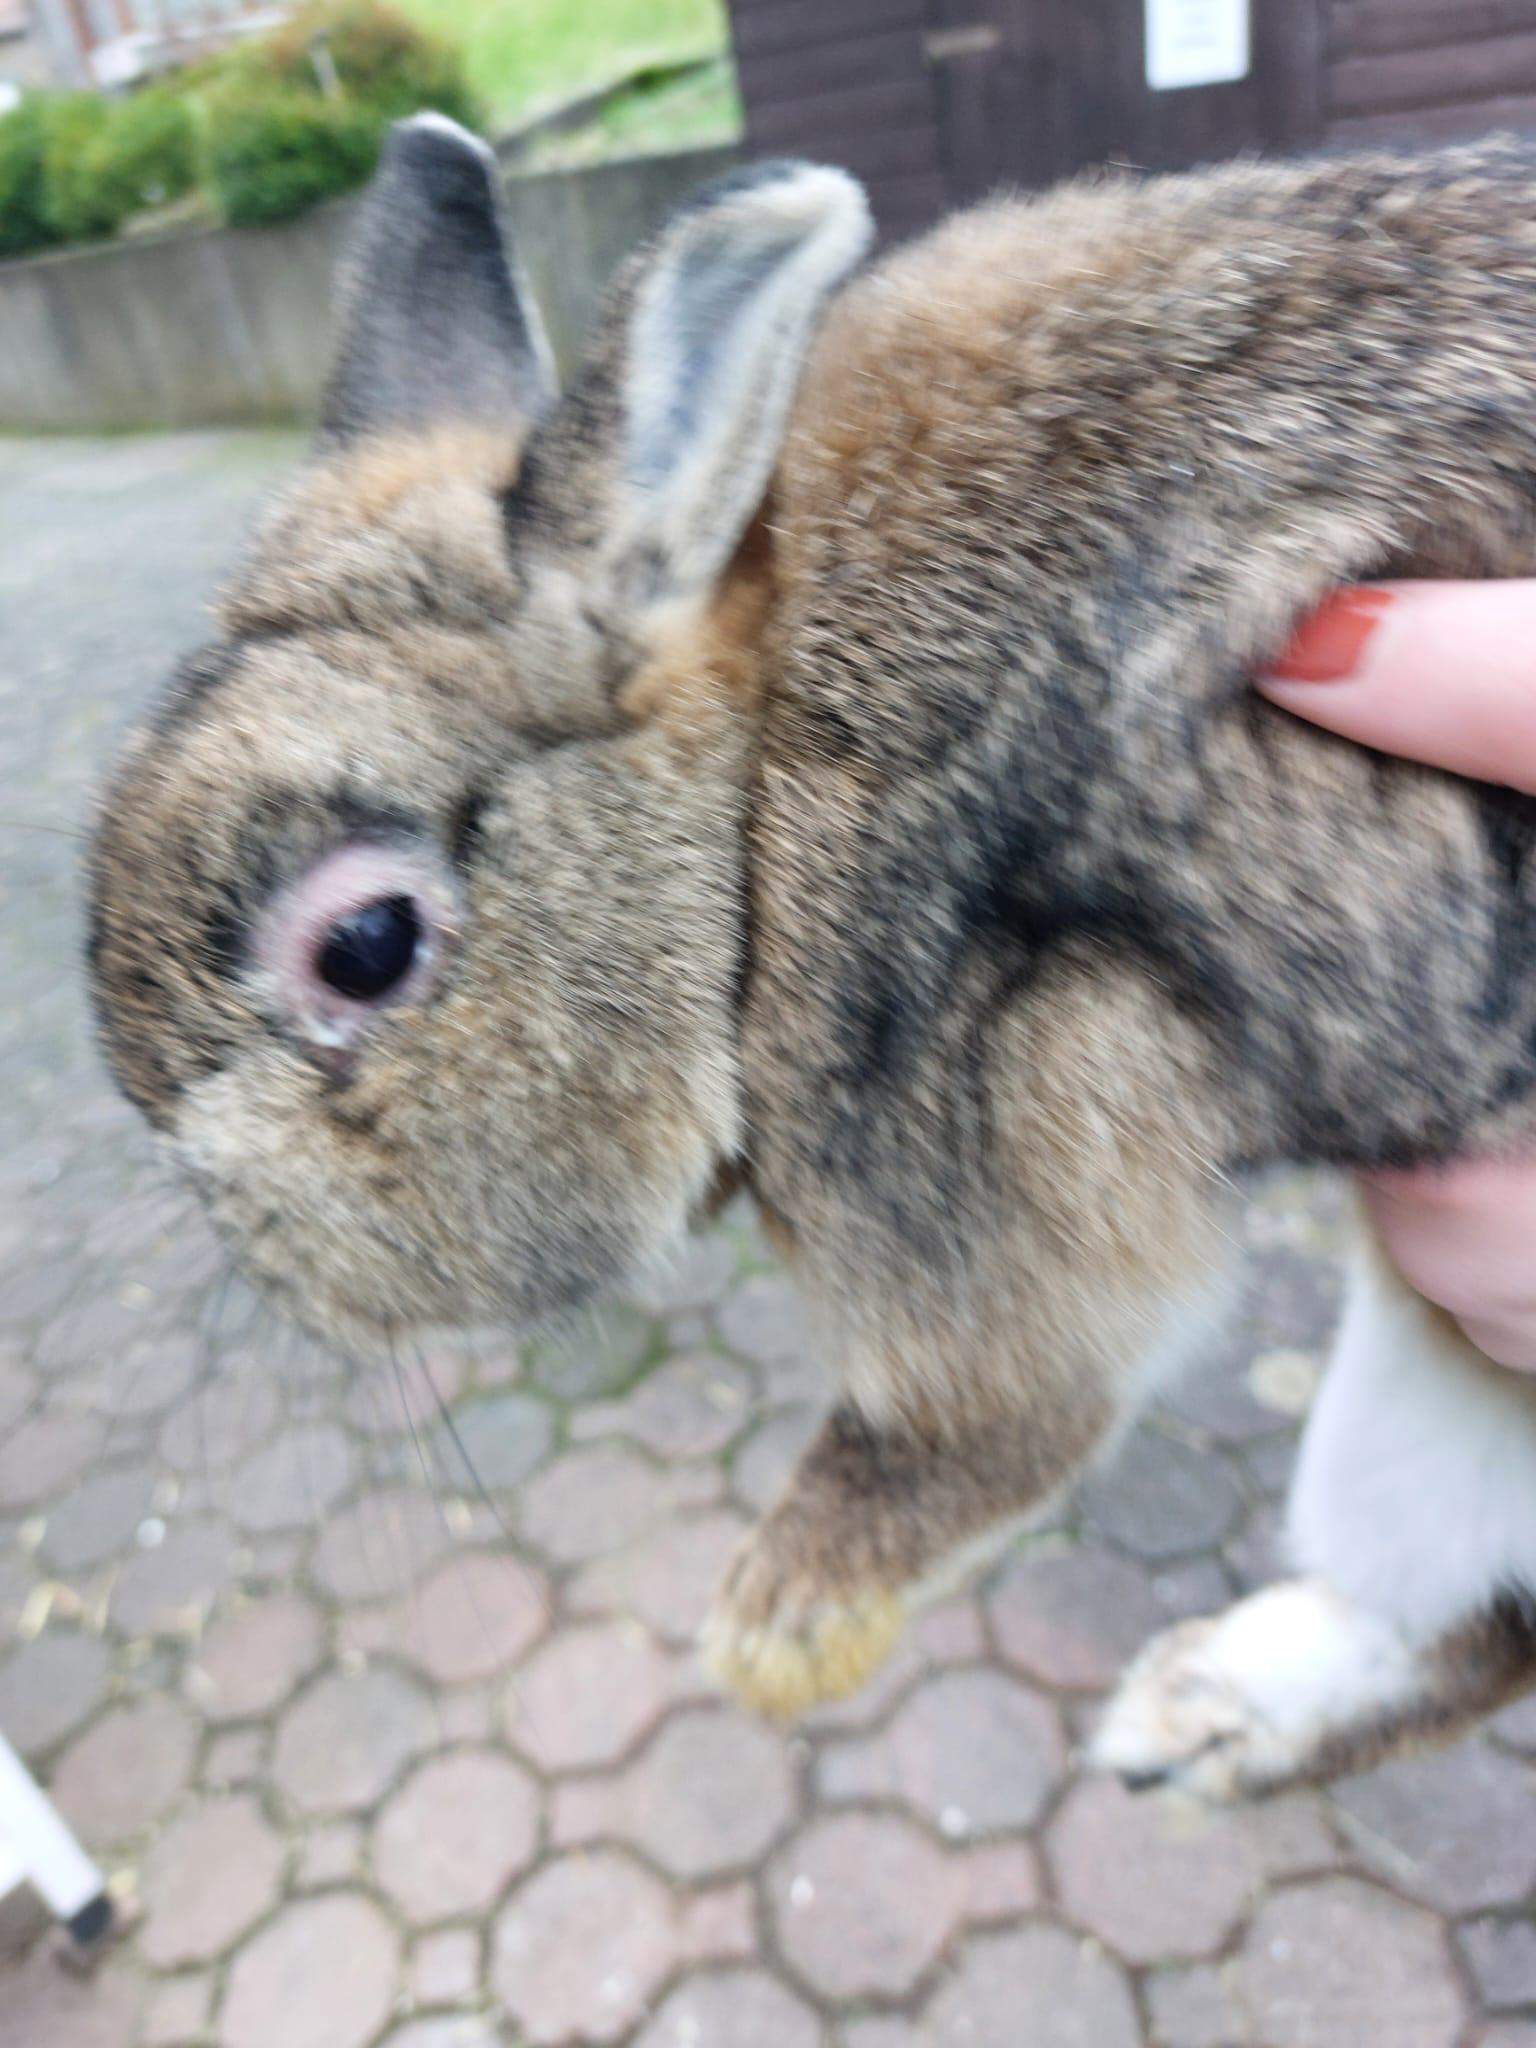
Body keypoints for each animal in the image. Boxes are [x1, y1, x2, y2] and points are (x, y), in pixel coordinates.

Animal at [88, 112, 1536, 1800]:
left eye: (366, 945)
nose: (276, 1269)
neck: (753, 812)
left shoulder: (992, 1110)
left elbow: (994, 1414)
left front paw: (773, 1634)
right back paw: (1195, 1724)